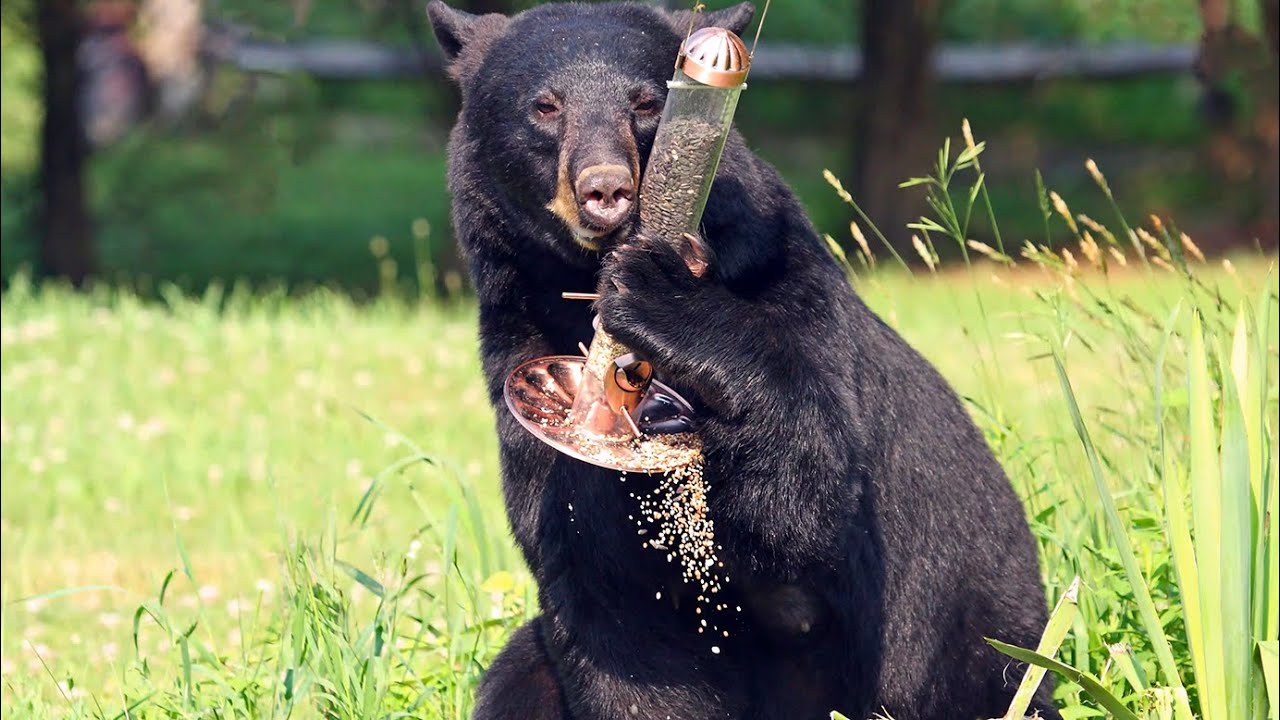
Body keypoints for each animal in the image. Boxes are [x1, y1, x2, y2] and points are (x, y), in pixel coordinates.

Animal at [426, 2, 1061, 719]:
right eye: (545, 106)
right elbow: (606, 597)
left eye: (646, 102)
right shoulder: (523, 356)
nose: (606, 190)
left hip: (973, 653)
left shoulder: (785, 284)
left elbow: (807, 495)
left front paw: (659, 294)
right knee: (521, 672)